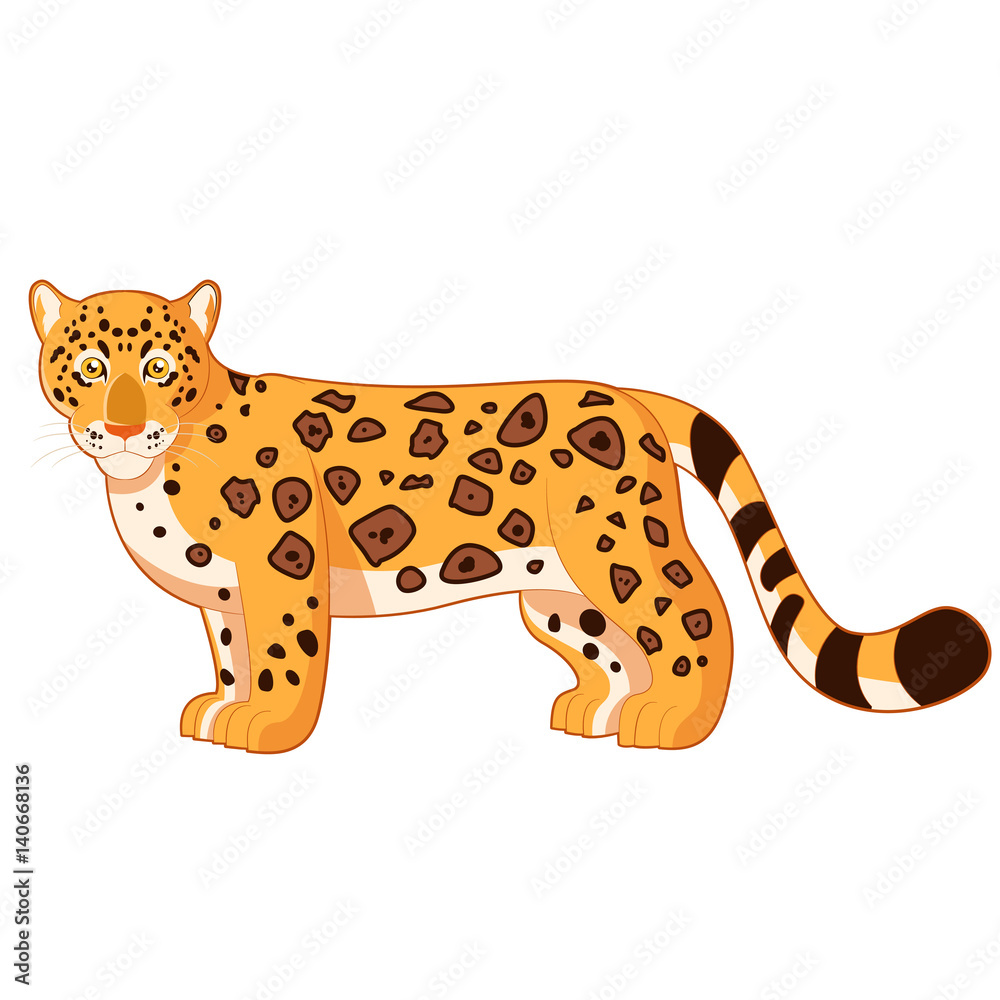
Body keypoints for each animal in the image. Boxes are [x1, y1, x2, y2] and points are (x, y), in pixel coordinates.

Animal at [29, 279, 991, 753]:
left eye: (158, 366)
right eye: (86, 367)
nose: (121, 424)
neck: (145, 477)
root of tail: (631, 397)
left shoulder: (280, 569)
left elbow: (281, 658)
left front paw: (266, 729)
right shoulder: (224, 596)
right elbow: (232, 657)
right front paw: (218, 710)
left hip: (617, 545)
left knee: (695, 612)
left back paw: (670, 725)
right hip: (555, 590)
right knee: (616, 642)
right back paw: (598, 712)